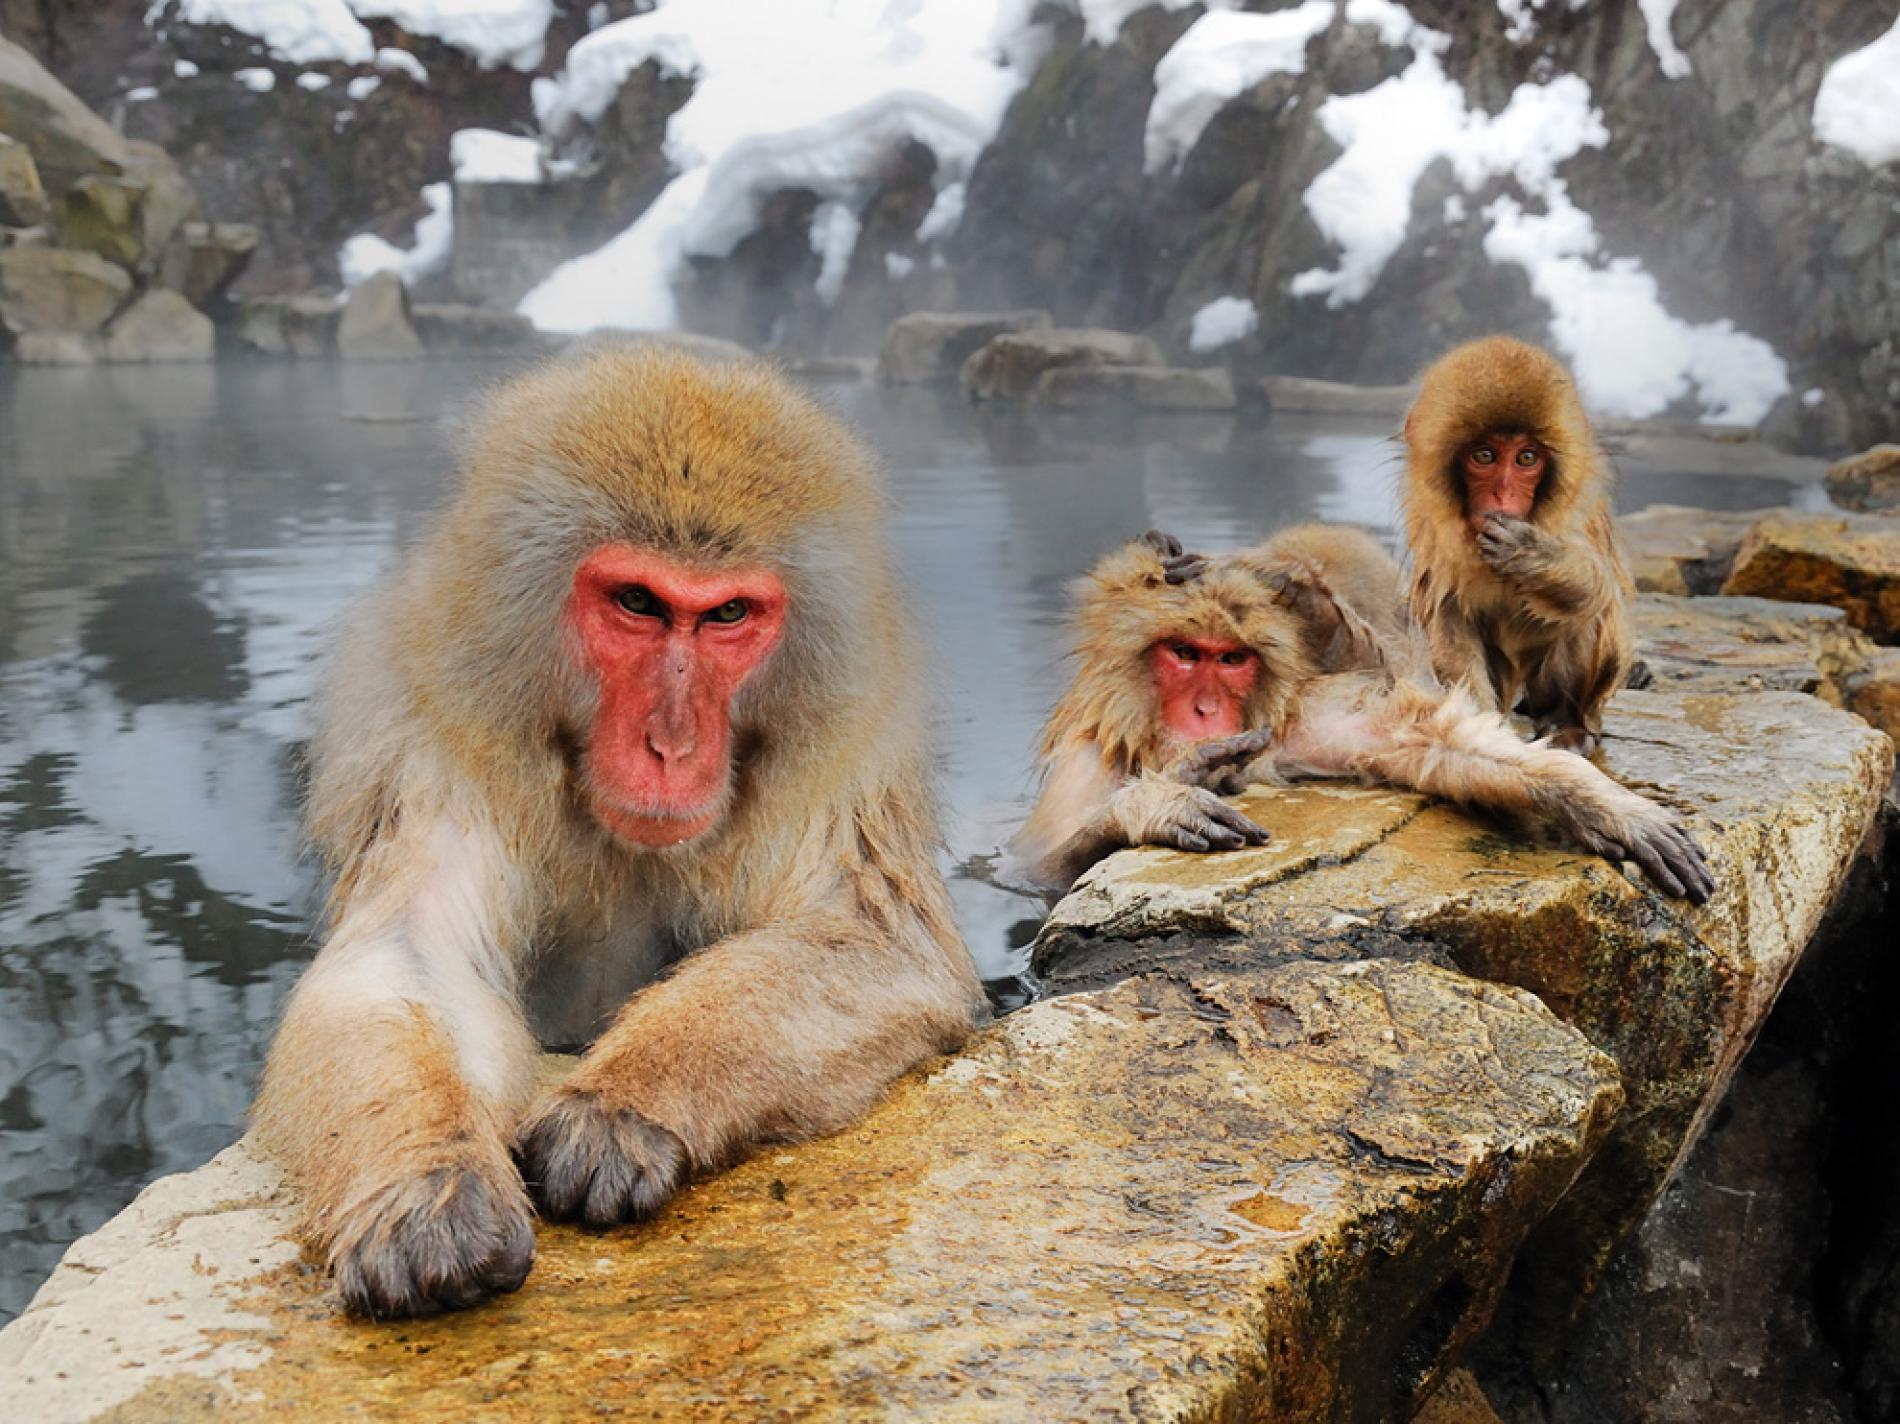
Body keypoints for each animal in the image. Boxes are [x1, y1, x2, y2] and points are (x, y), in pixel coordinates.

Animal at [252, 347, 983, 1320]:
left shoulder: (849, 744)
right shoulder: (430, 727)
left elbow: (876, 937)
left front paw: (623, 1104)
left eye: (726, 616)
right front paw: (430, 1186)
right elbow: (406, 951)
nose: (669, 747)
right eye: (638, 602)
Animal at [1014, 528, 1713, 904]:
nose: (1206, 711)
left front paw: (1600, 803)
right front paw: (1164, 800)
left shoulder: (1295, 723)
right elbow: (1034, 867)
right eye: (1185, 655)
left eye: (1231, 659)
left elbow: (1431, 742)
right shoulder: (1085, 759)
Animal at [1402, 336, 1635, 756]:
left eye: (1526, 458)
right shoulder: (1433, 524)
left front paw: (1529, 554)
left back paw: (1567, 723)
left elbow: (1598, 584)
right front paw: (1479, 731)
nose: (1504, 493)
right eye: (1484, 456)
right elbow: (1449, 615)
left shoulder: (1576, 514)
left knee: (1585, 612)